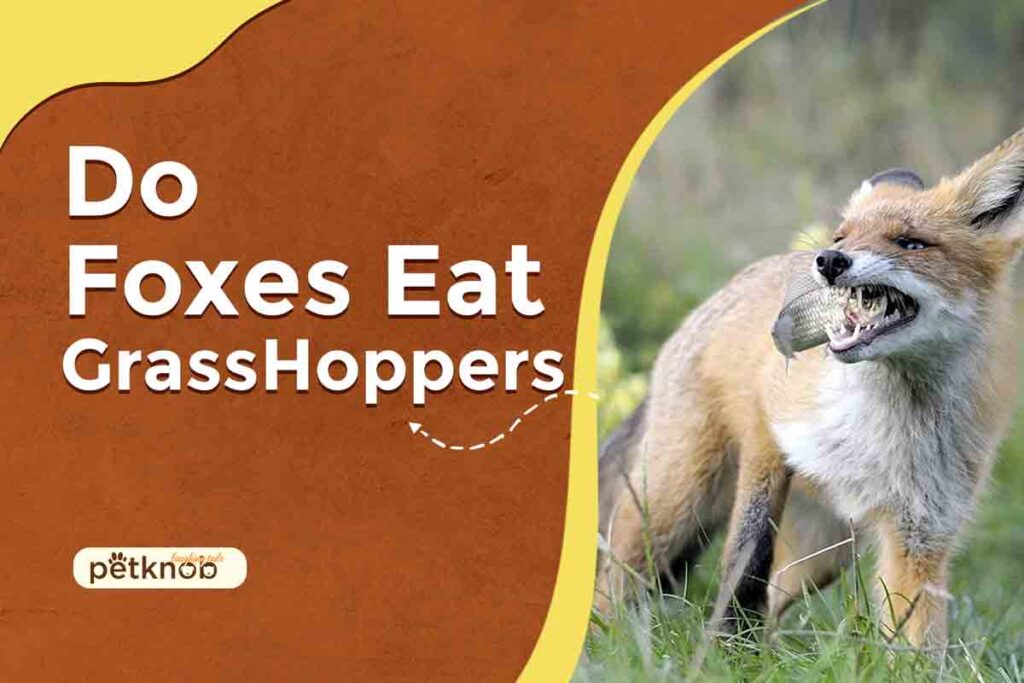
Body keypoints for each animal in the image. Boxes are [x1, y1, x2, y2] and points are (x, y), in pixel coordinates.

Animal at [595, 127, 1024, 650]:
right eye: (843, 236)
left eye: (910, 243)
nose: (829, 260)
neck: (886, 431)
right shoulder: (769, 428)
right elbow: (746, 554)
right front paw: (722, 645)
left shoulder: (922, 531)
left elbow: (918, 639)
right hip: (672, 500)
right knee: (614, 581)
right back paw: (608, 643)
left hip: (822, 556)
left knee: (776, 600)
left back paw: (767, 652)